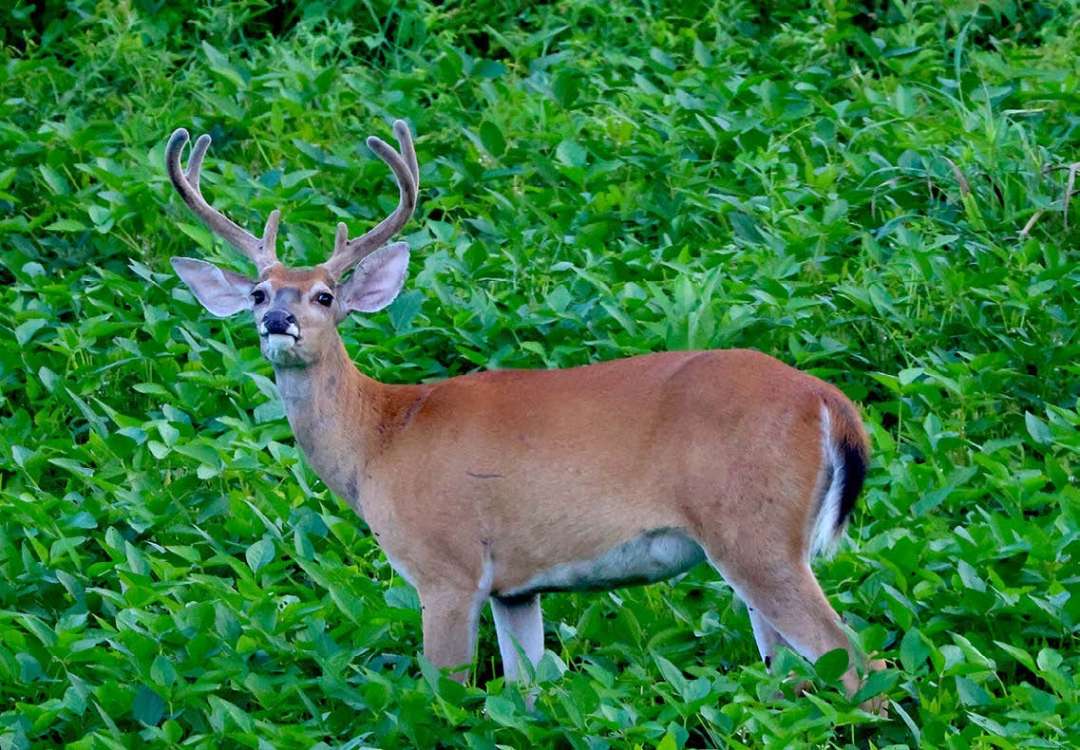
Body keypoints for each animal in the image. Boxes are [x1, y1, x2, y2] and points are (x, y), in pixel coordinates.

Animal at [164, 119, 884, 709]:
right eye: (259, 292)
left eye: (324, 294)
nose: (277, 322)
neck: (380, 439)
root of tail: (829, 402)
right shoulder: (516, 586)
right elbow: (526, 692)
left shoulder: (446, 565)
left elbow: (447, 694)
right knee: (792, 673)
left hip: (754, 531)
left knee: (856, 664)